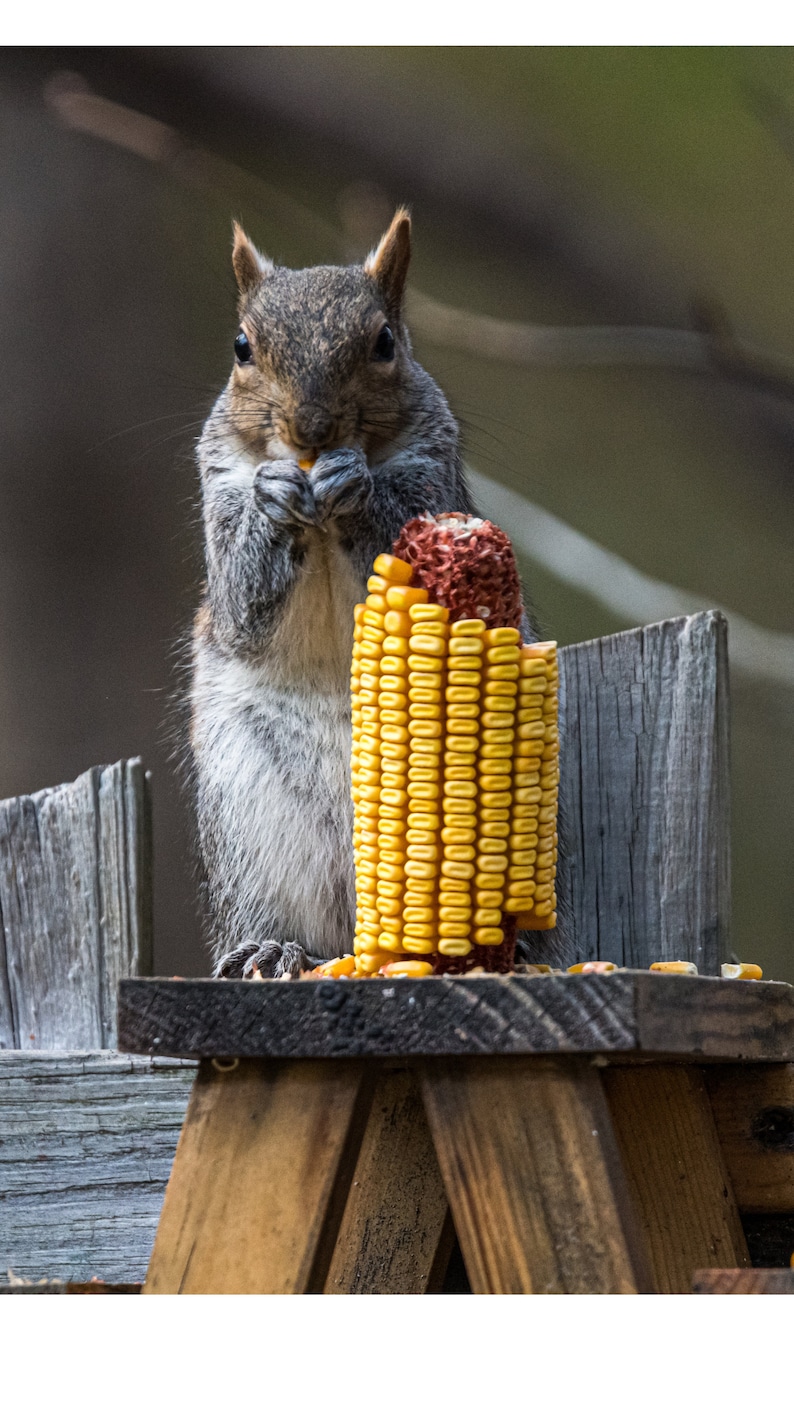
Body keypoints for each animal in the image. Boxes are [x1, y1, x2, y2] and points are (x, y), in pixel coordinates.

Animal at [190, 208, 562, 979]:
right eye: (242, 347)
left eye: (385, 342)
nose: (311, 429)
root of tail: (356, 939)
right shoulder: (219, 488)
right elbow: (241, 607)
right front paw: (276, 498)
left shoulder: (432, 476)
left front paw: (355, 488)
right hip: (247, 824)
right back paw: (271, 949)